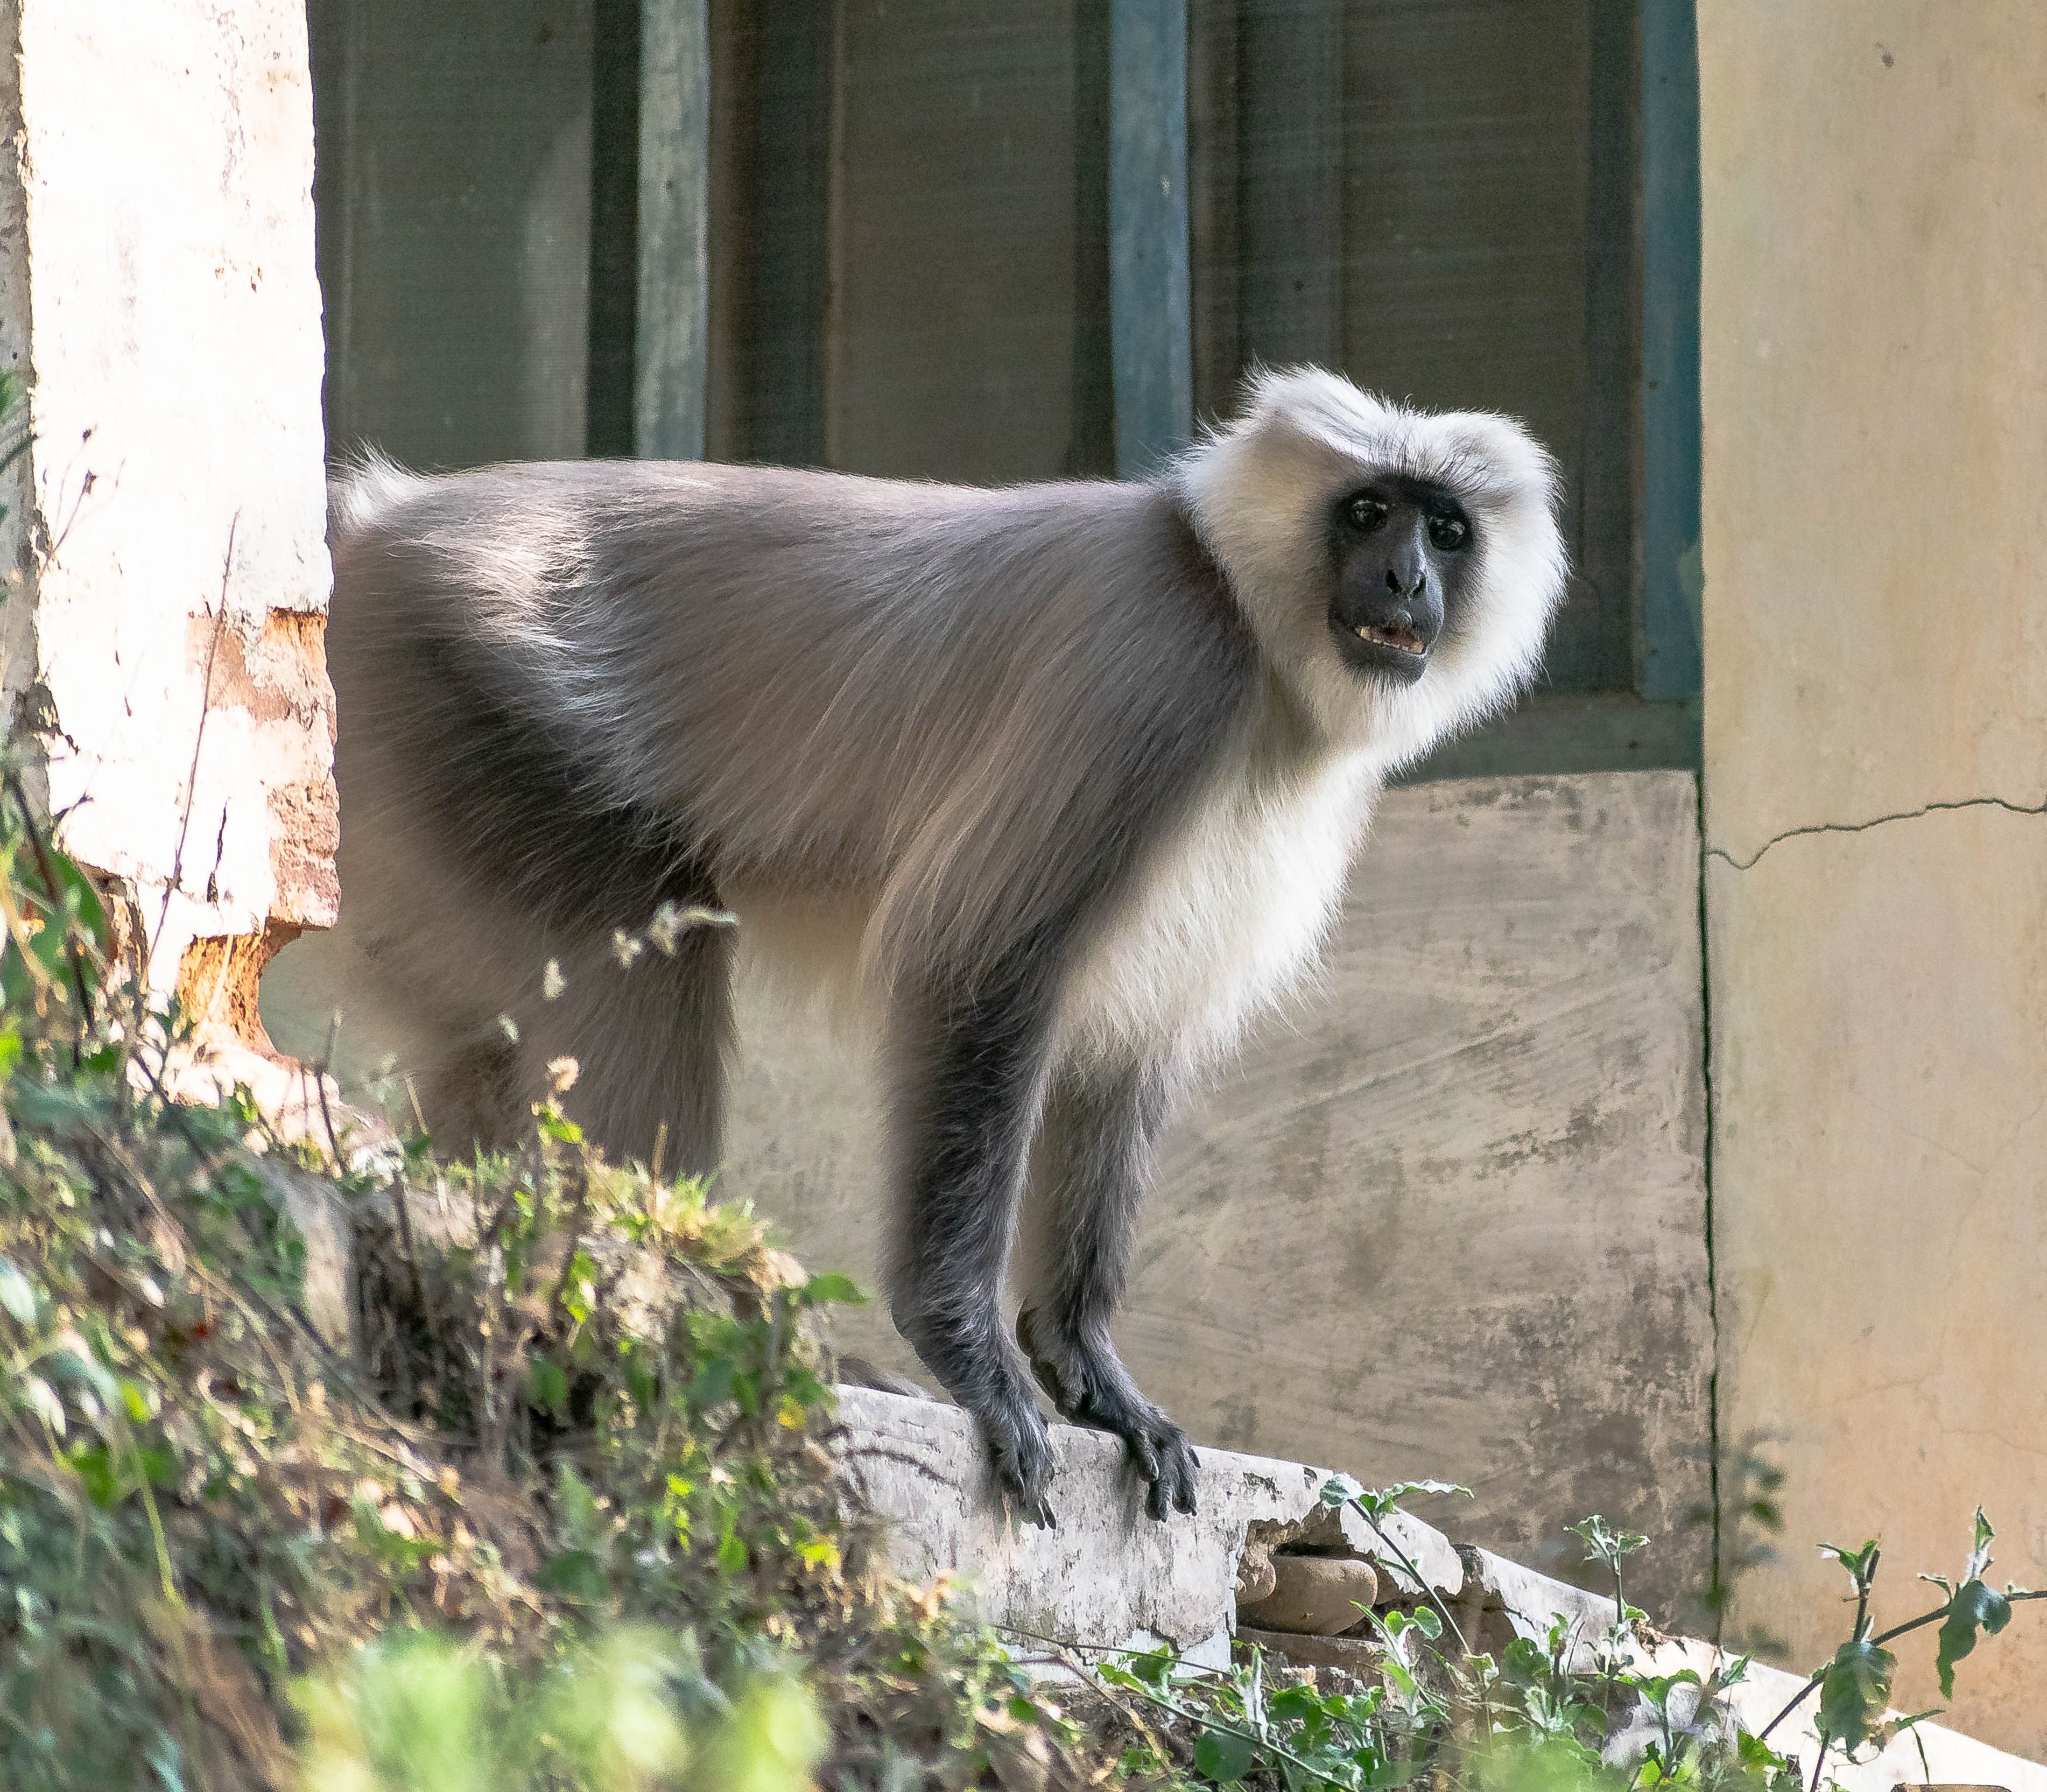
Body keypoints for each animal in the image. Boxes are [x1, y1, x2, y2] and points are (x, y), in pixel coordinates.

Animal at [319, 366, 1565, 1526]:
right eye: (1367, 512)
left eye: (1444, 529)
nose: (1405, 579)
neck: (1232, 600)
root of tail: (372, 524)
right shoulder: (1156, 669)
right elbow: (972, 962)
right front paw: (971, 1358)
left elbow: (1128, 1044)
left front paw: (1082, 1363)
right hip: (456, 702)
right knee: (641, 951)